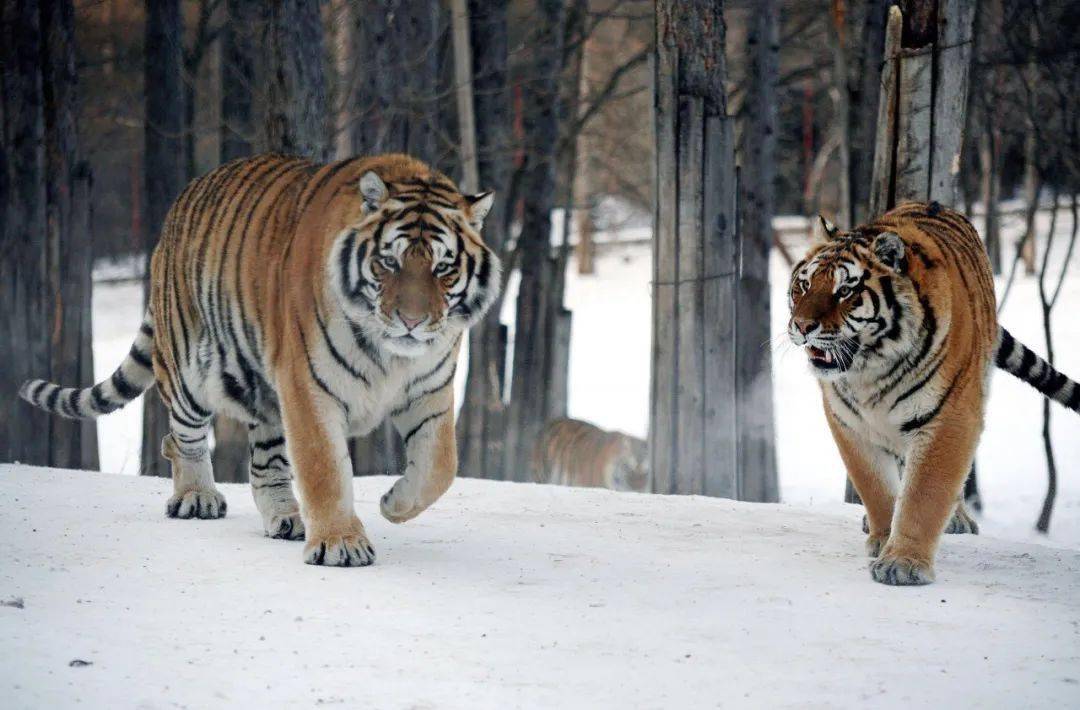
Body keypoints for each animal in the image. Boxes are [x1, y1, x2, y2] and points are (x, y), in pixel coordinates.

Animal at [19, 153, 500, 567]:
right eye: (389, 263)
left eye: (443, 268)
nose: (412, 321)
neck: (392, 358)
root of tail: (178, 206)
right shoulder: (309, 388)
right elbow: (324, 468)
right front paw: (341, 544)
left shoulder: (430, 392)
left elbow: (440, 466)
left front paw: (394, 504)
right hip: (191, 372)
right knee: (181, 439)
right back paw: (196, 498)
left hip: (264, 393)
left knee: (264, 464)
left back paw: (285, 518)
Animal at [788, 201, 1080, 585]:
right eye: (803, 286)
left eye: (845, 291)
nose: (802, 326)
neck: (870, 371)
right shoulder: (849, 424)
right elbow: (874, 486)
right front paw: (883, 537)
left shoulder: (948, 417)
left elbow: (925, 492)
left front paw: (903, 563)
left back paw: (957, 519)